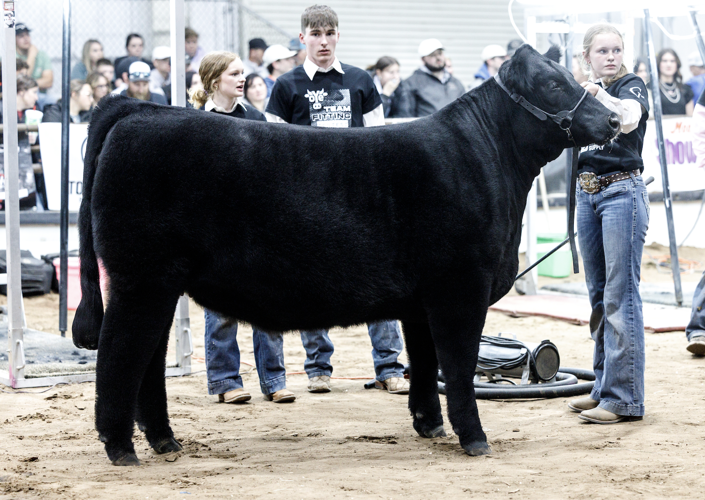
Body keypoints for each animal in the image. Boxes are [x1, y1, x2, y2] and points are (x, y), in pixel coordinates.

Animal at [72, 45, 619, 466]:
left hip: (159, 285)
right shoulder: (460, 288)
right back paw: (122, 448)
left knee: (147, 360)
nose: (614, 118)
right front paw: (475, 439)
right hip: (141, 279)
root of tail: (138, 110)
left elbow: (424, 362)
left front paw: (429, 426)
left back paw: (166, 441)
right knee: (120, 355)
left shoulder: (421, 301)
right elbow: (459, 367)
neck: (487, 157)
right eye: (552, 84)